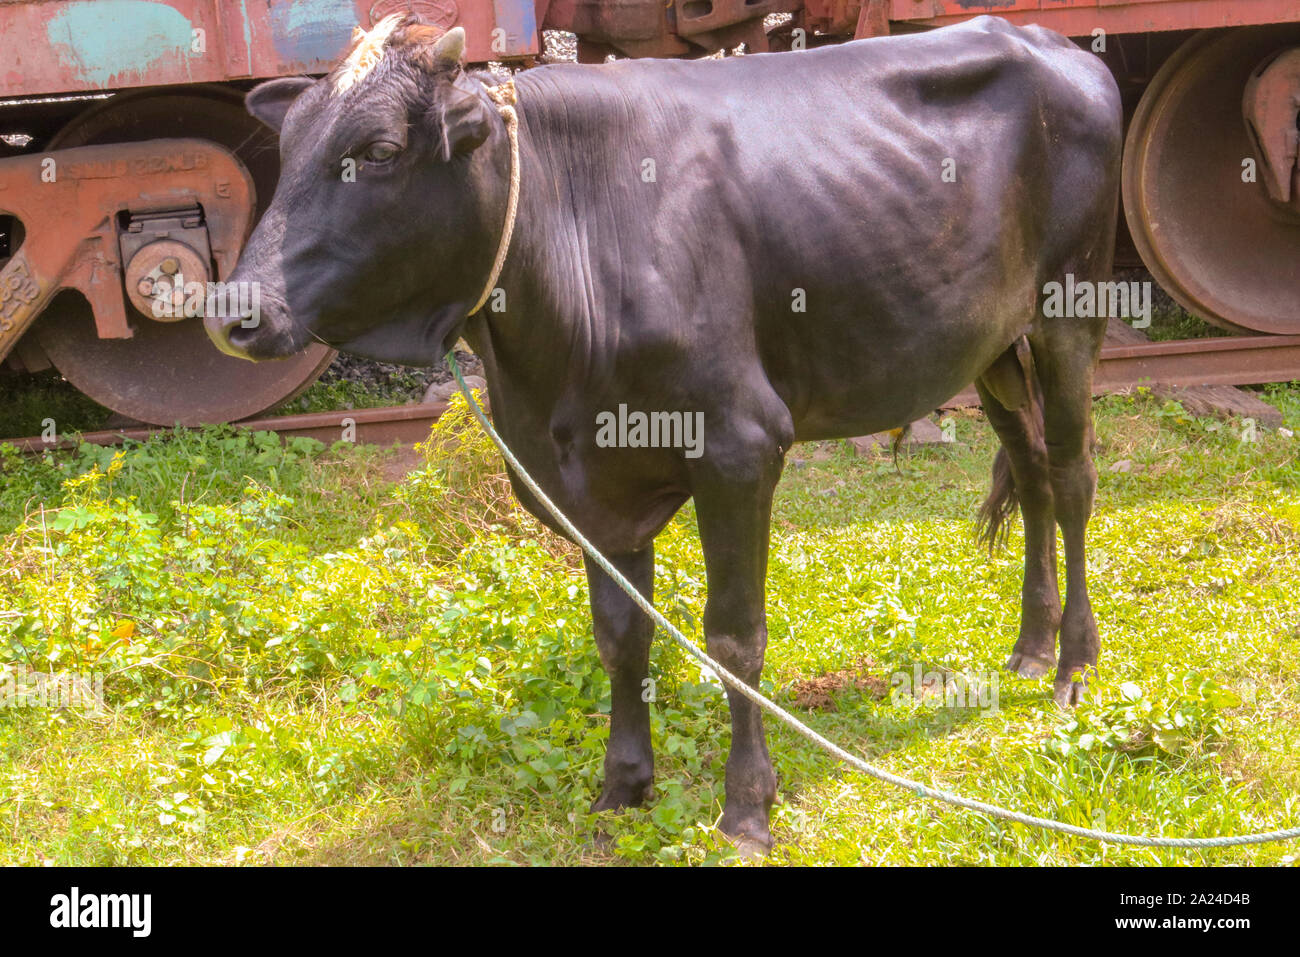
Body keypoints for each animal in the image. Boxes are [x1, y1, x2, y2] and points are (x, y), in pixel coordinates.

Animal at [207, 14, 1123, 853]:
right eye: (290, 145)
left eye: (382, 149)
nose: (235, 314)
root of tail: (1050, 42)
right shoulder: (587, 483)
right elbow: (620, 634)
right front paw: (623, 785)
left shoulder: (740, 449)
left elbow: (734, 636)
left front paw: (748, 803)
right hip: (992, 343)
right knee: (1031, 469)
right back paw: (1031, 645)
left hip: (1069, 311)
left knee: (1073, 476)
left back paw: (1075, 662)